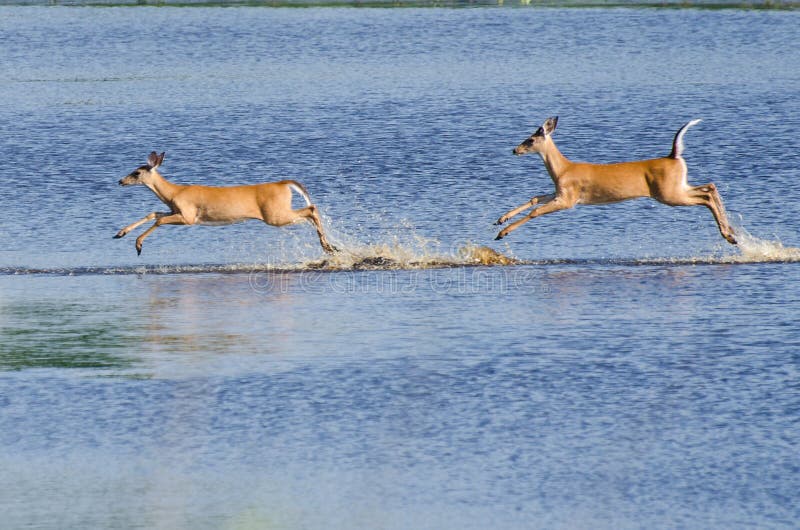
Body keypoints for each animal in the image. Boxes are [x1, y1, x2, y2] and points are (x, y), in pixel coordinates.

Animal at [115, 151, 338, 255]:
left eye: (136, 172)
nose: (120, 181)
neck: (173, 192)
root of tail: (283, 184)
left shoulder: (188, 216)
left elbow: (159, 220)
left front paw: (138, 245)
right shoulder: (175, 210)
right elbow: (153, 213)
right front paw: (120, 233)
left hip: (275, 215)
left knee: (311, 209)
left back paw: (328, 247)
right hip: (279, 213)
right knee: (310, 212)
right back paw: (331, 247)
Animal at [494, 117, 738, 245]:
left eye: (530, 139)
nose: (515, 149)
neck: (563, 170)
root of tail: (673, 155)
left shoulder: (569, 199)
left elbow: (536, 211)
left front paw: (502, 233)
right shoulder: (560, 192)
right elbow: (535, 198)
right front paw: (500, 219)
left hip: (669, 194)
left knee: (705, 196)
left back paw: (729, 235)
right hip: (677, 187)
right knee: (710, 186)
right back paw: (731, 232)